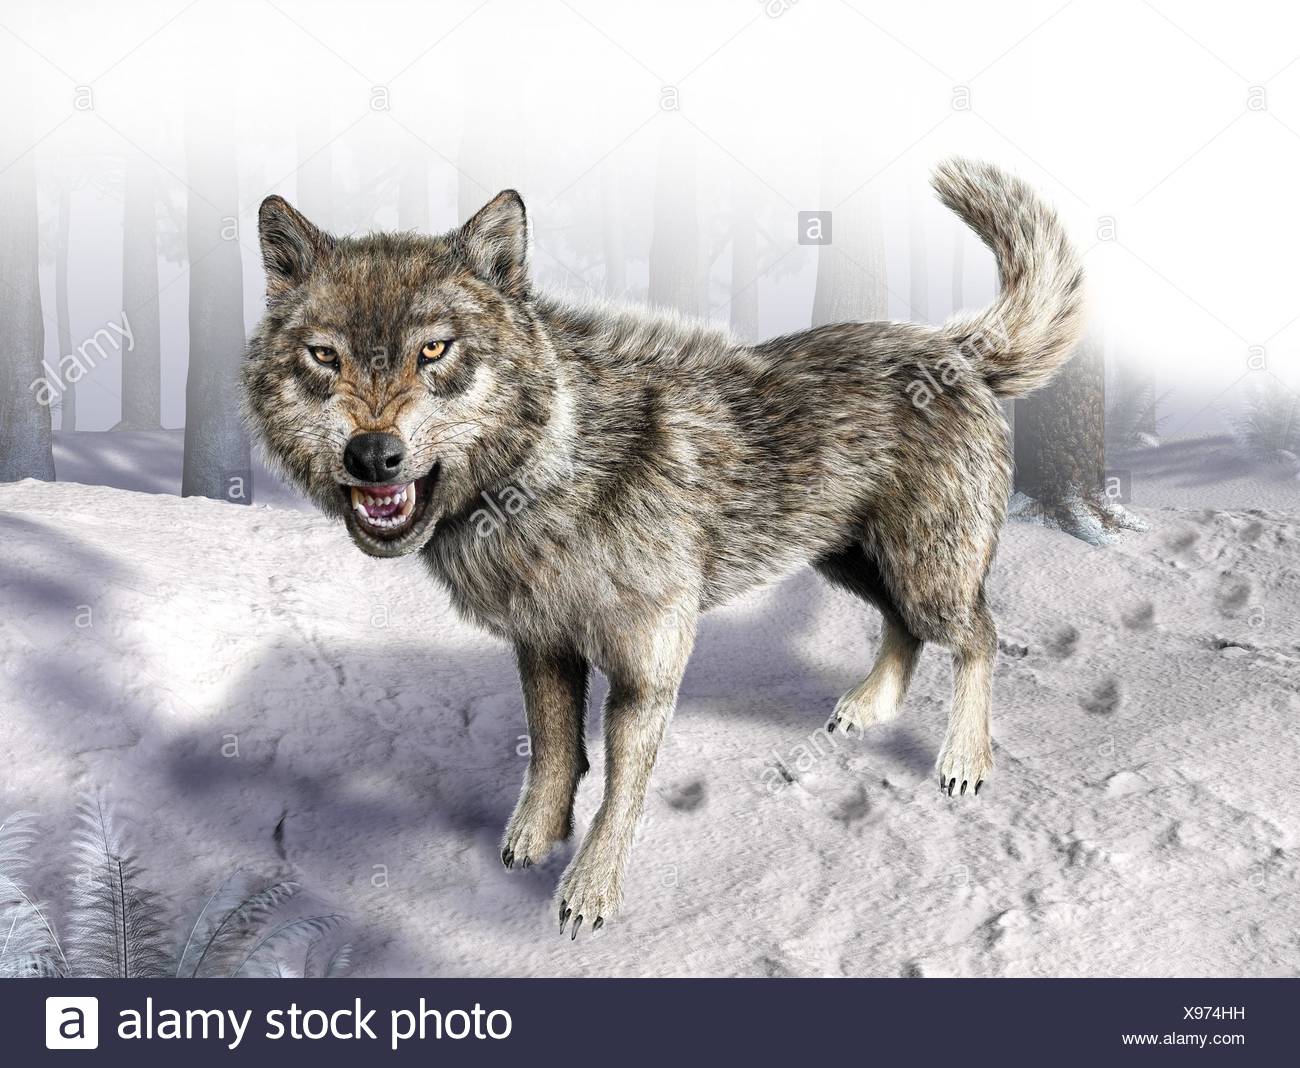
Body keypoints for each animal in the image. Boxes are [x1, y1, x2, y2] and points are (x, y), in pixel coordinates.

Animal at [242, 159, 1083, 938]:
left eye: (434, 351)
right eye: (324, 356)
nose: (372, 456)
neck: (553, 469)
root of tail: (956, 345)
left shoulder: (649, 663)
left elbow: (619, 787)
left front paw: (590, 893)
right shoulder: (543, 643)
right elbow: (553, 752)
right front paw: (534, 839)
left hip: (925, 572)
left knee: (980, 637)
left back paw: (964, 761)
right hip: (851, 563)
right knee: (905, 629)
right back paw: (867, 709)